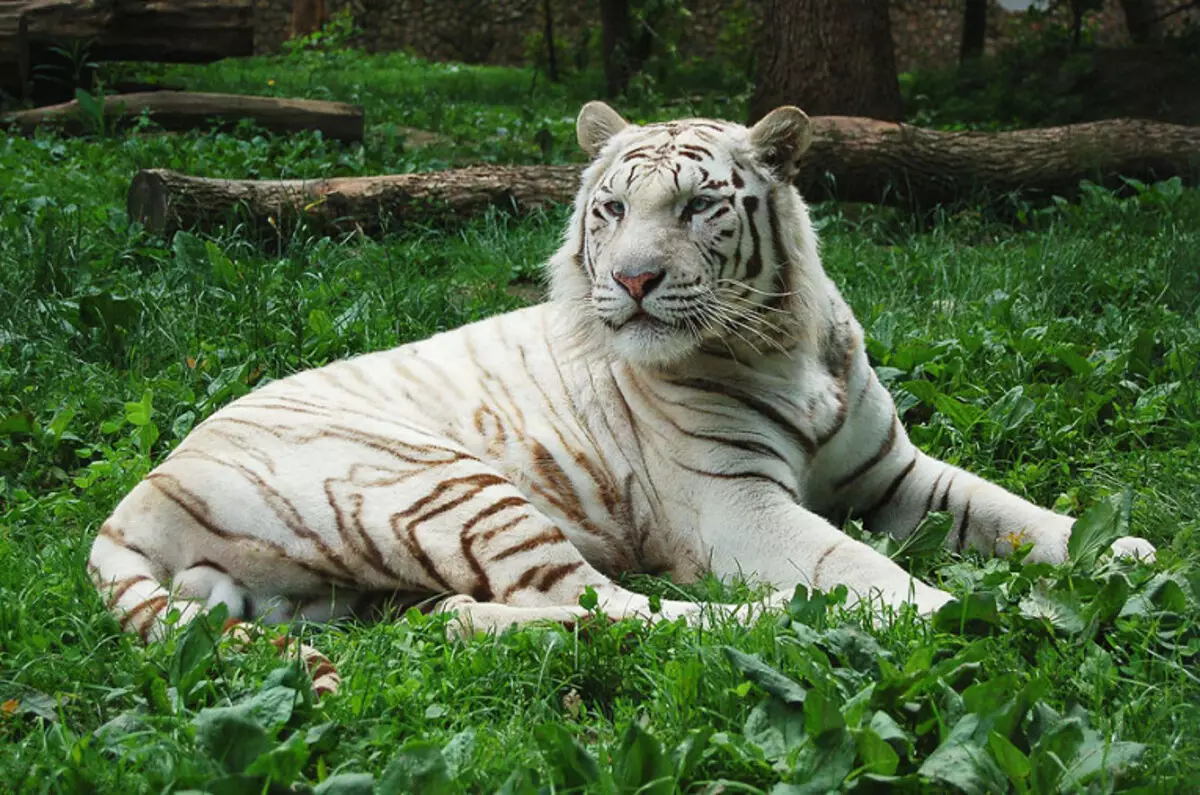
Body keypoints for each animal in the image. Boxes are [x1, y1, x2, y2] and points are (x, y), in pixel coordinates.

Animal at [88, 102, 1156, 691]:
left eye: (698, 205)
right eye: (610, 208)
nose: (634, 280)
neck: (784, 342)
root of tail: (132, 499)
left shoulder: (895, 472)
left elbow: (1009, 508)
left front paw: (1125, 549)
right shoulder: (735, 505)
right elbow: (857, 564)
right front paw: (956, 606)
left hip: (311, 592)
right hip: (447, 483)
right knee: (603, 604)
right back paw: (804, 616)